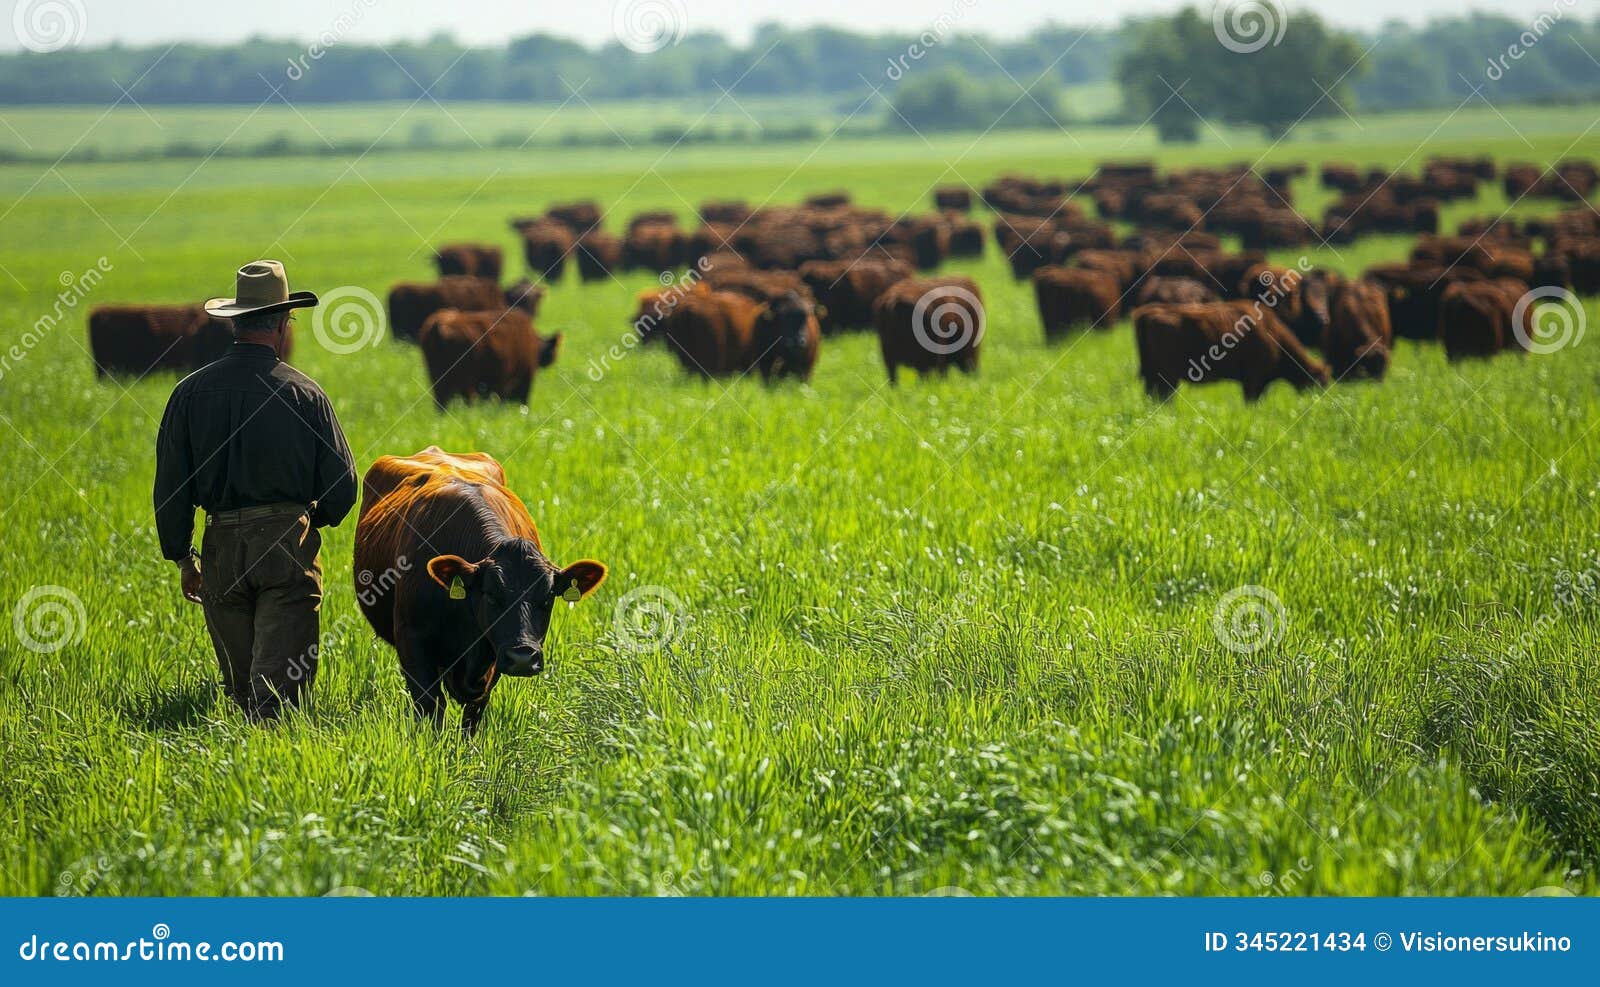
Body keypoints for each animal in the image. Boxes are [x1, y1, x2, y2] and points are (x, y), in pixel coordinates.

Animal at [352, 447, 607, 733]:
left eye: (547, 597)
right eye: (491, 595)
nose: (522, 657)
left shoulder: (493, 654)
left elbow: (473, 713)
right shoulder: (411, 638)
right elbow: (430, 706)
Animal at [1132, 301, 1330, 402]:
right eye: (1320, 383)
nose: (1319, 405)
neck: (1272, 332)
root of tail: (1147, 312)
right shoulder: (1254, 380)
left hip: (1153, 376)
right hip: (1167, 378)